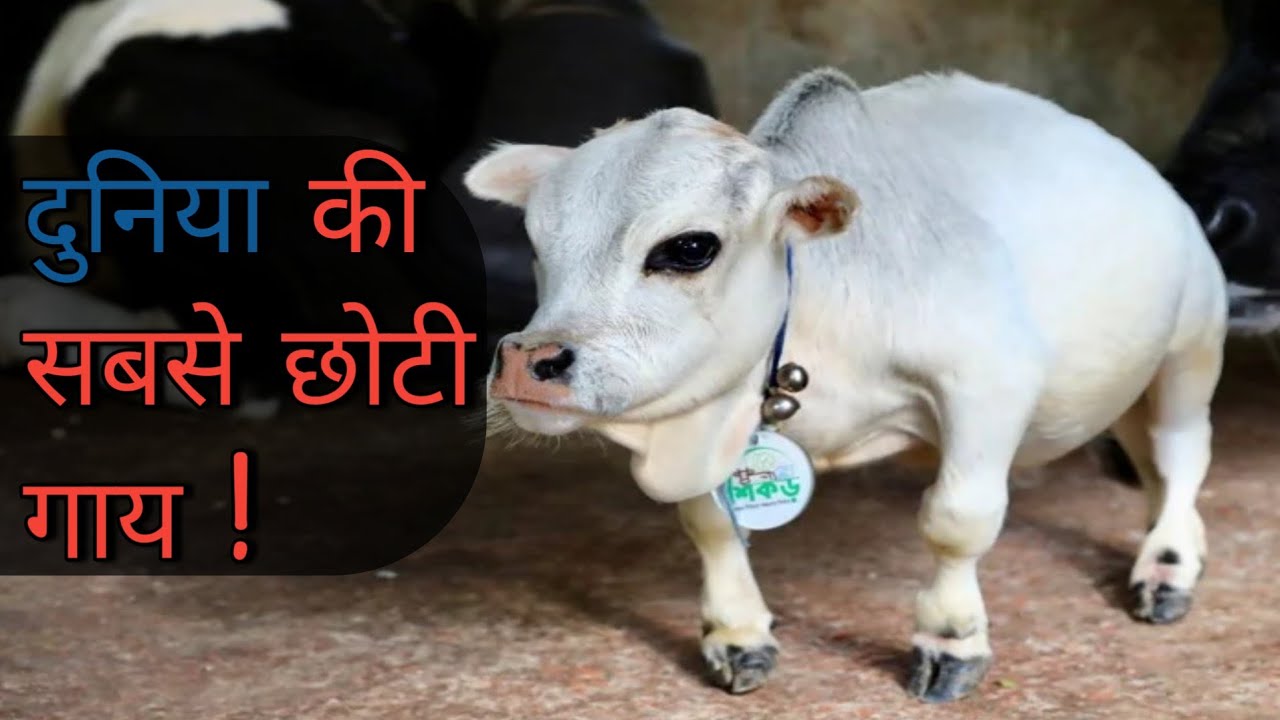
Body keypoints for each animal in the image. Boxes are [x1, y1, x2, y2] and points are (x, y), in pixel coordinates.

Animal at [465, 67, 1229, 702]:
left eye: (689, 248)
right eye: (537, 244)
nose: (528, 359)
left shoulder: (987, 384)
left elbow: (957, 520)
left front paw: (950, 641)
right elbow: (711, 524)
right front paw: (737, 634)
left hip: (1190, 351)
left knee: (1180, 457)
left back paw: (1167, 565)